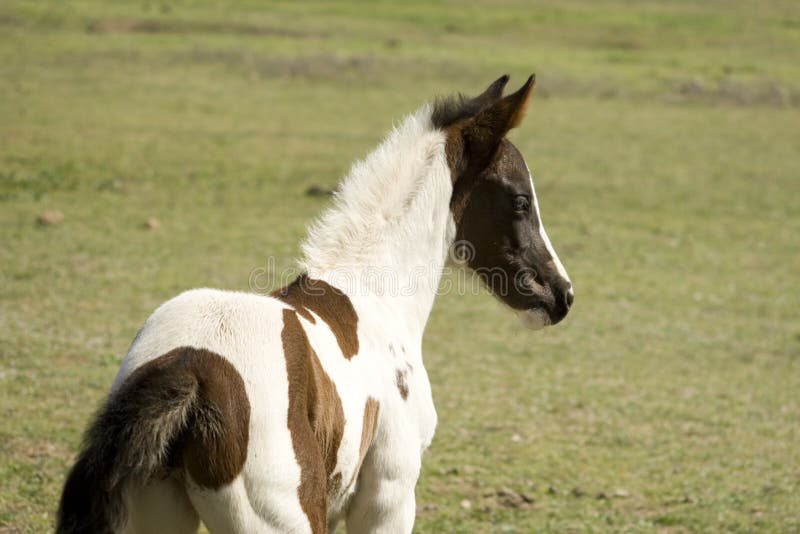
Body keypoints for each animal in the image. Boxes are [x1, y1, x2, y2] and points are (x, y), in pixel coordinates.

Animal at [57, 74, 573, 534]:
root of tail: (189, 372)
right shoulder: (389, 495)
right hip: (286, 516)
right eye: (521, 200)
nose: (561, 294)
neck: (375, 297)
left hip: (157, 515)